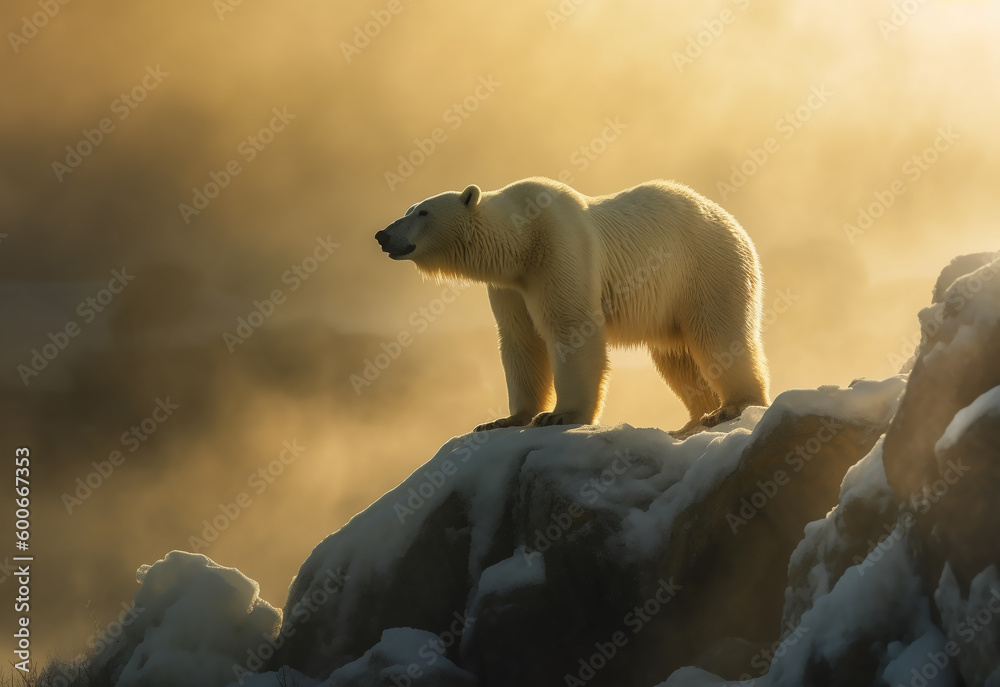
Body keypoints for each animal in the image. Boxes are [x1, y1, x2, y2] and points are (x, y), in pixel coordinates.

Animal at [375, 177, 770, 437]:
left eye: (423, 212)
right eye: (409, 209)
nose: (383, 234)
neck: (521, 240)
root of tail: (733, 223)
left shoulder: (558, 247)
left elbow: (570, 327)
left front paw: (559, 415)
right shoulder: (510, 286)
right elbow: (520, 341)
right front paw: (503, 420)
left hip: (703, 269)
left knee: (716, 334)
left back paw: (732, 407)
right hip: (670, 304)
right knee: (677, 357)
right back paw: (693, 418)